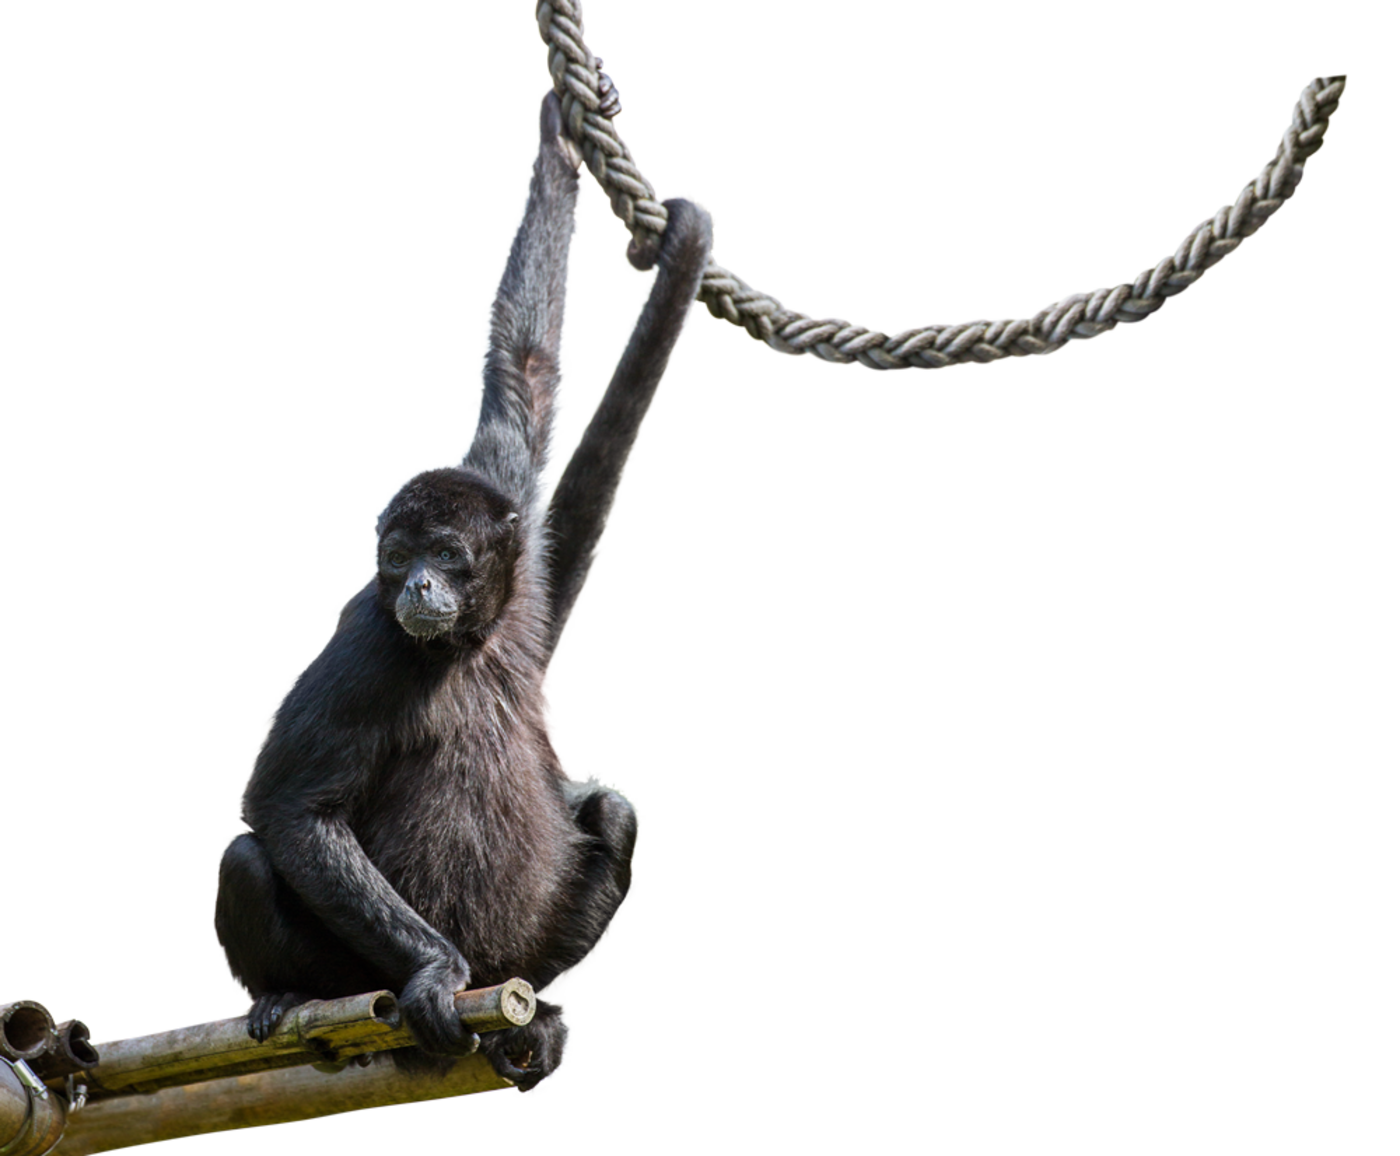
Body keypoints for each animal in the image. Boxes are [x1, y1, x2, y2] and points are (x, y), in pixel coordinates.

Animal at [212, 78, 713, 1092]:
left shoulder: (514, 558)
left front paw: (561, 129)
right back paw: (296, 994)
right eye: (398, 558)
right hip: (349, 964)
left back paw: (537, 1005)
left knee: (612, 811)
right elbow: (286, 807)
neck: (472, 644)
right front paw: (435, 973)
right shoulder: (368, 640)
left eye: (445, 554)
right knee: (246, 854)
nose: (418, 591)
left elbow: (524, 369)